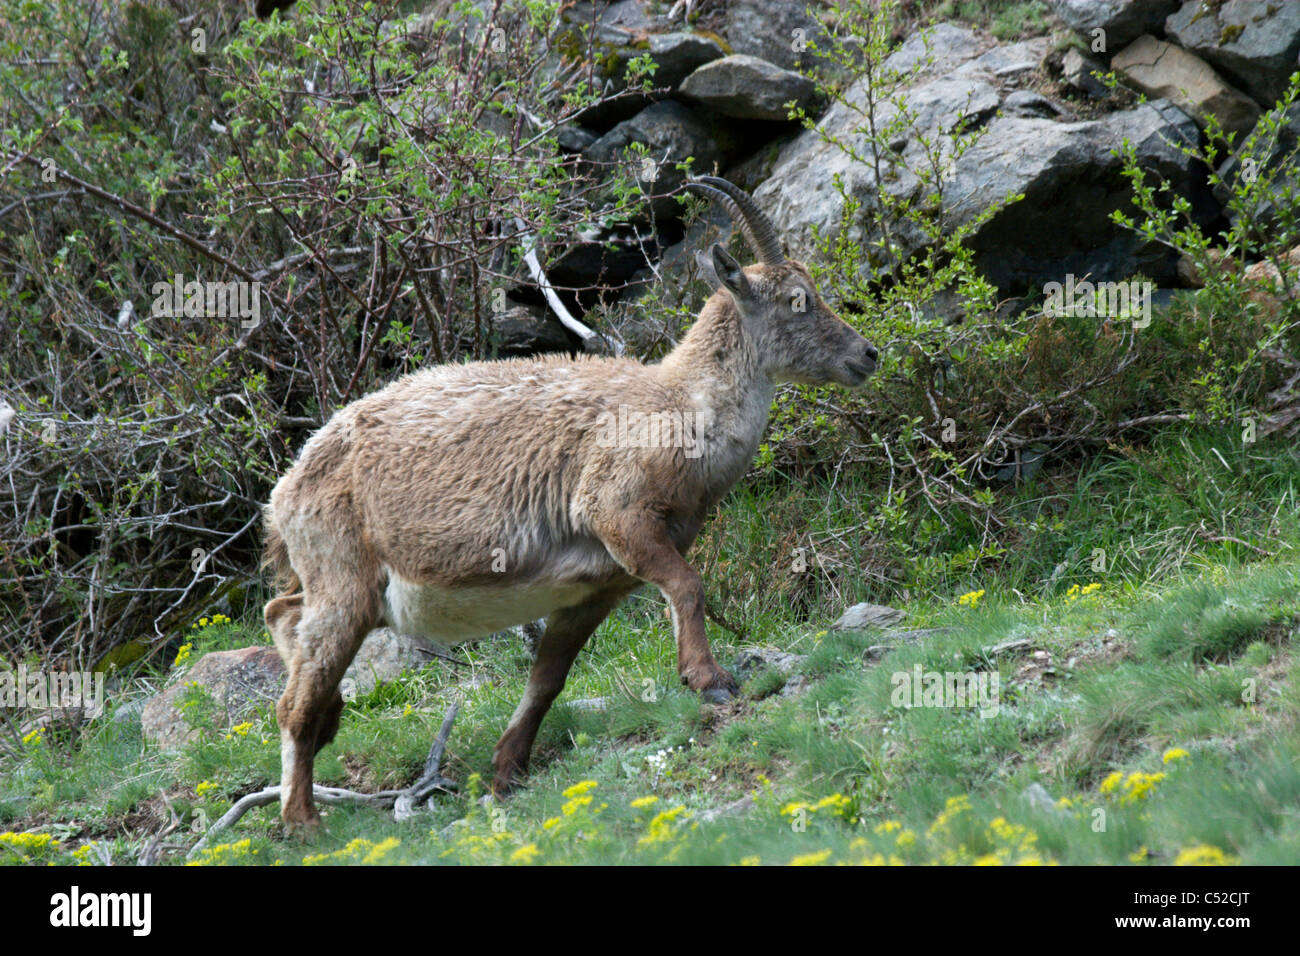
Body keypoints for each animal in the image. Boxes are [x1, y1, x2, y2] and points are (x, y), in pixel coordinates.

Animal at [262, 176, 879, 828]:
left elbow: (547, 681)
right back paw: (302, 818)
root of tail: (286, 490)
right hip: (343, 579)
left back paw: (328, 723)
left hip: (348, 590)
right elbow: (688, 585)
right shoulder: (616, 513)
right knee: (292, 699)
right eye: (796, 300)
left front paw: (506, 771)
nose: (867, 354)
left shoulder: (594, 588)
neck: (679, 407)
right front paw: (710, 679)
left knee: (283, 614)